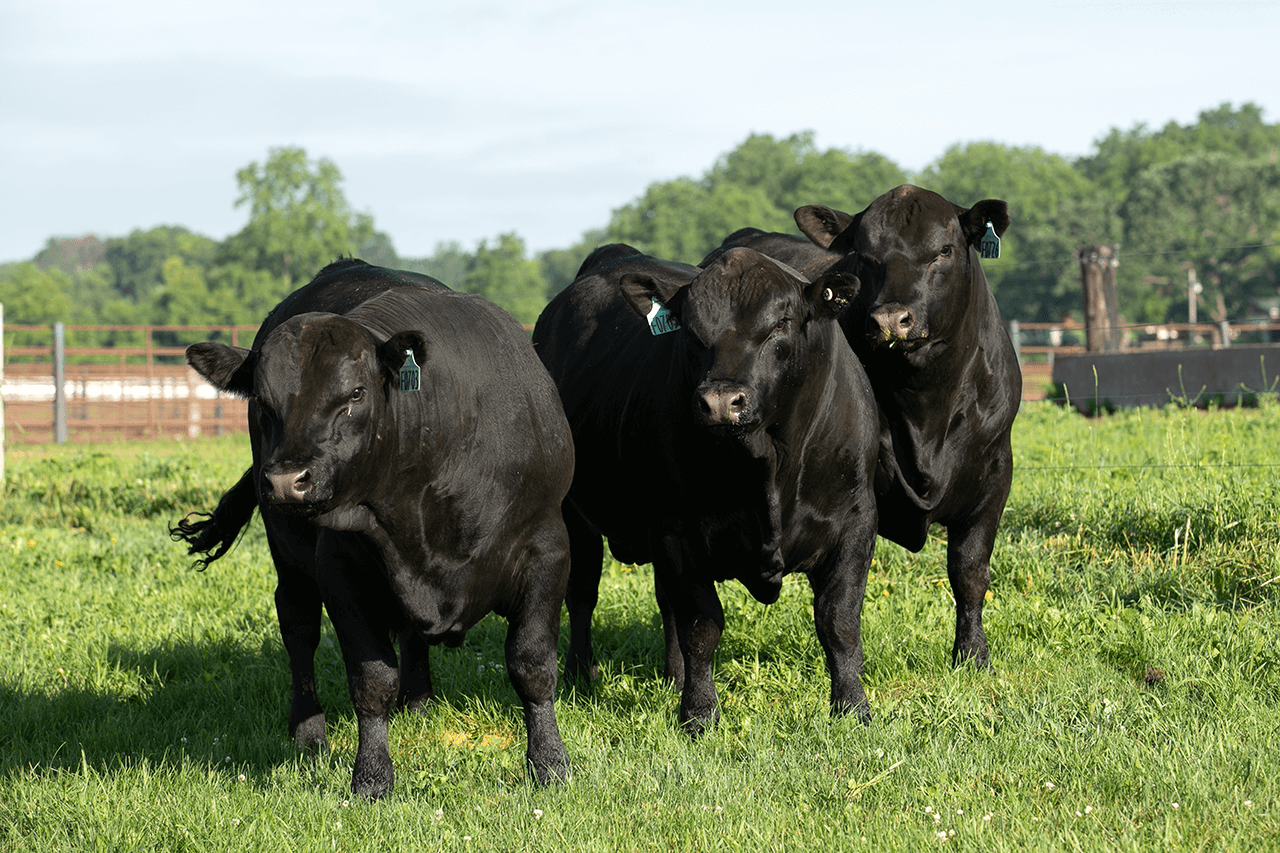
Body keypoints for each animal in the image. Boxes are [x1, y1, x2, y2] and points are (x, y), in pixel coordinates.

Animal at [172, 259, 573, 799]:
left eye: (356, 393)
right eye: (263, 401)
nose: (286, 481)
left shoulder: (547, 549)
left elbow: (531, 664)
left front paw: (549, 764)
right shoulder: (341, 571)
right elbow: (371, 681)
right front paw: (372, 776)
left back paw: (420, 702)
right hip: (288, 551)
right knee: (298, 626)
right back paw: (309, 732)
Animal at [531, 244, 879, 735]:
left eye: (781, 323)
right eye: (692, 332)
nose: (719, 401)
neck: (767, 467)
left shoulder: (855, 521)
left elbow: (839, 621)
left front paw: (852, 708)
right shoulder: (680, 531)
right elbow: (701, 626)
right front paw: (699, 714)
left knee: (663, 604)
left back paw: (672, 678)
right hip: (573, 514)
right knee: (583, 593)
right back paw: (582, 676)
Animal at [703, 185, 1020, 668]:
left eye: (943, 251)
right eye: (867, 257)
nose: (891, 319)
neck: (928, 405)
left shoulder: (996, 470)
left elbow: (969, 571)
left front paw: (972, 656)